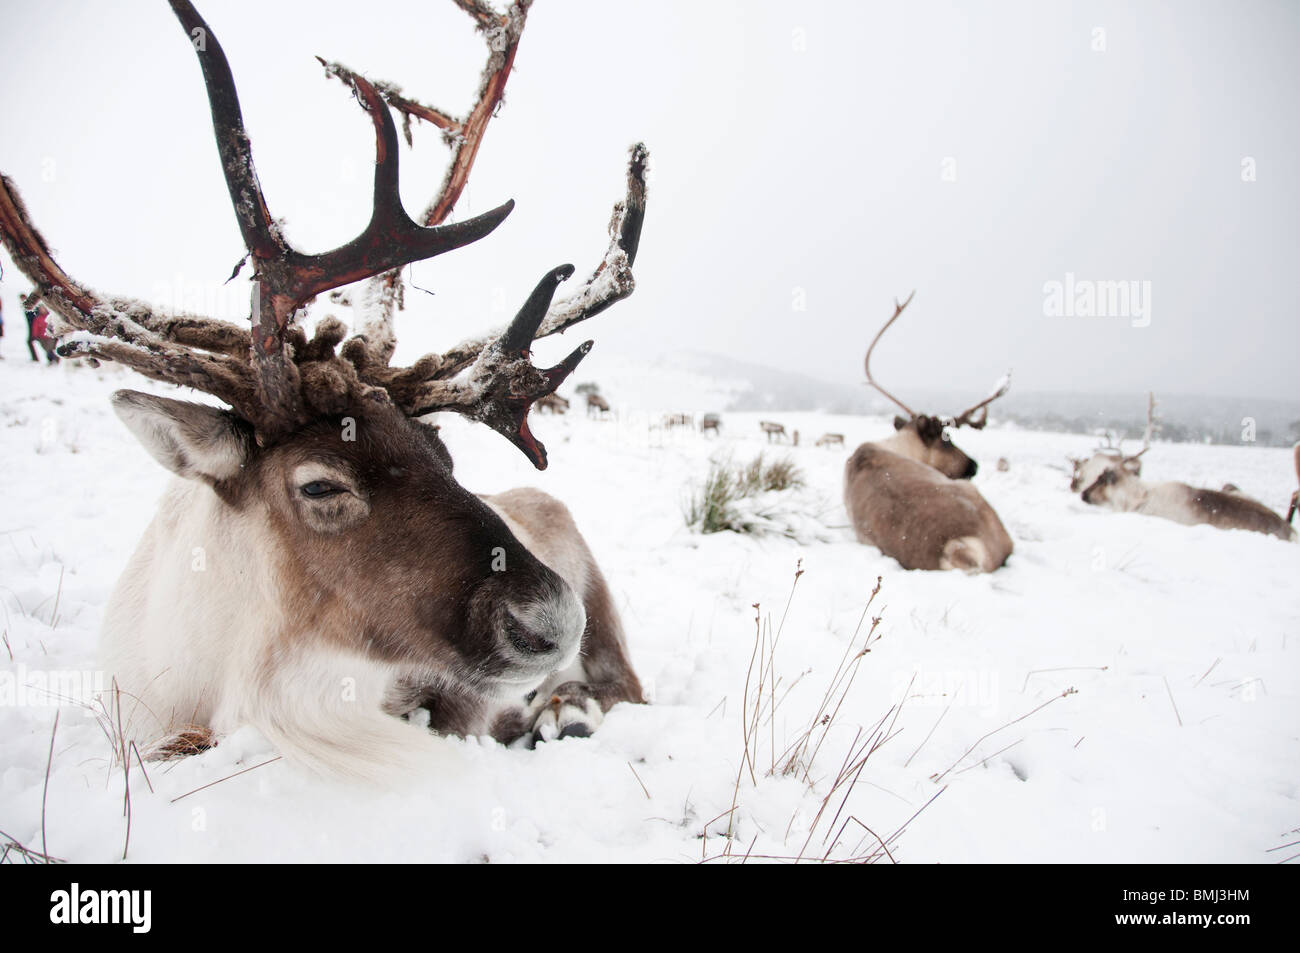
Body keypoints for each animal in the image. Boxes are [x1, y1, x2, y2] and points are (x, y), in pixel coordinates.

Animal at [0, 0, 651, 782]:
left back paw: (565, 708)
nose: (552, 621)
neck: (217, 676)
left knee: (624, 685)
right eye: (319, 484)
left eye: (445, 457)